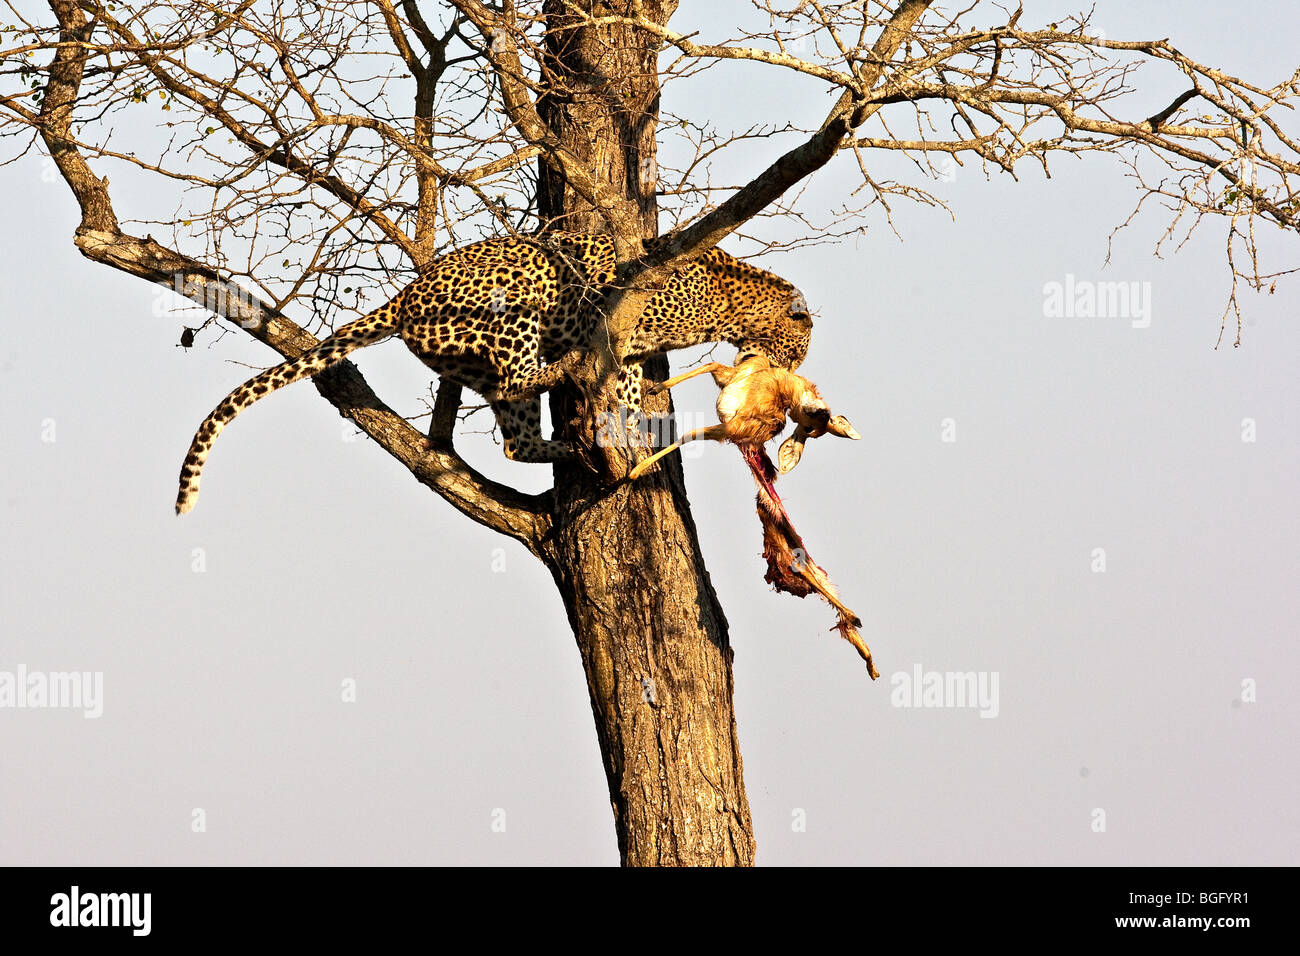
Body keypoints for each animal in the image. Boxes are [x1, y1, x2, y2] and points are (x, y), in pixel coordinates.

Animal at [175, 230, 814, 514]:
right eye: (799, 349)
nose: (789, 368)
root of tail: (405, 297)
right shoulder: (613, 312)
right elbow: (611, 350)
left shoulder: (631, 350)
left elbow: (628, 385)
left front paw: (630, 424)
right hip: (513, 313)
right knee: (521, 380)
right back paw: (563, 377)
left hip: (472, 362)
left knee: (516, 440)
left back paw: (572, 446)